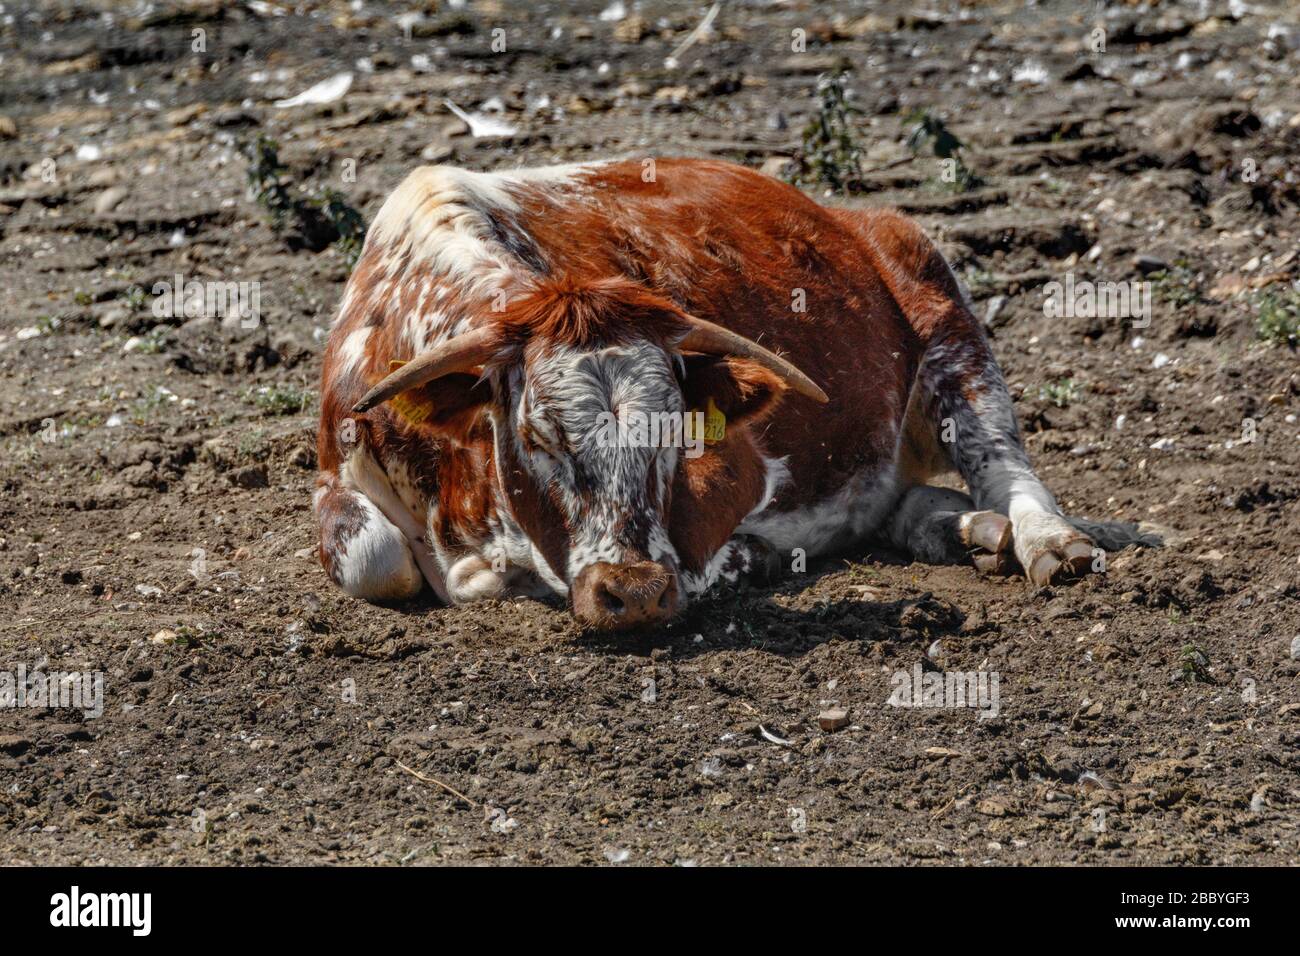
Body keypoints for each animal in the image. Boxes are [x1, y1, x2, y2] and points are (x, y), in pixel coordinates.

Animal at [315, 158, 1139, 630]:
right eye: (537, 438)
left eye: (675, 434)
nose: (633, 593)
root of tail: (845, 214)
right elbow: (378, 561)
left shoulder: (744, 471)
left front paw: (748, 558)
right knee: (907, 502)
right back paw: (963, 531)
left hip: (944, 314)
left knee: (1006, 467)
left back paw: (1045, 540)